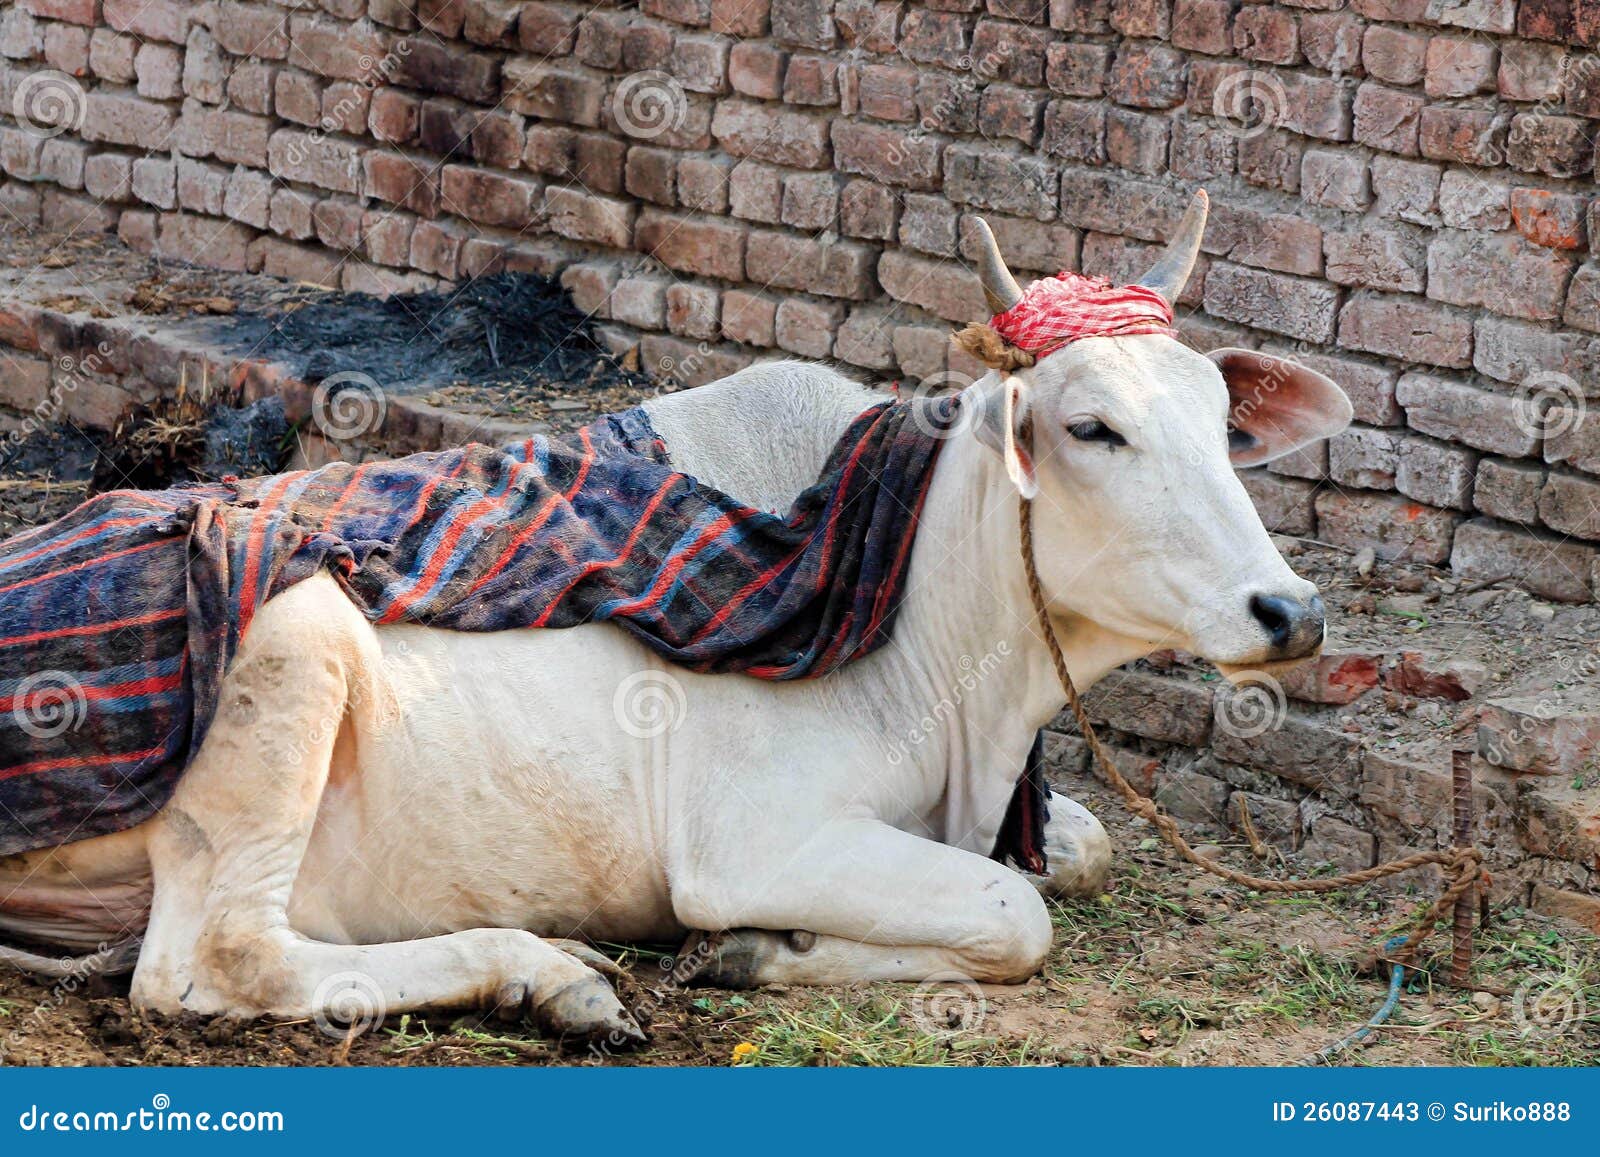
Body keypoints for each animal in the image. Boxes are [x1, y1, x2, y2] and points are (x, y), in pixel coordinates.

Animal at [0, 190, 1351, 1044]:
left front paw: (772, 951)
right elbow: (1017, 916)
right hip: (294, 635)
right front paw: (759, 948)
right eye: (1090, 427)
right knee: (216, 960)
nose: (1287, 609)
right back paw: (547, 975)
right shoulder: (750, 839)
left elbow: (1079, 851)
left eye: (1220, 418)